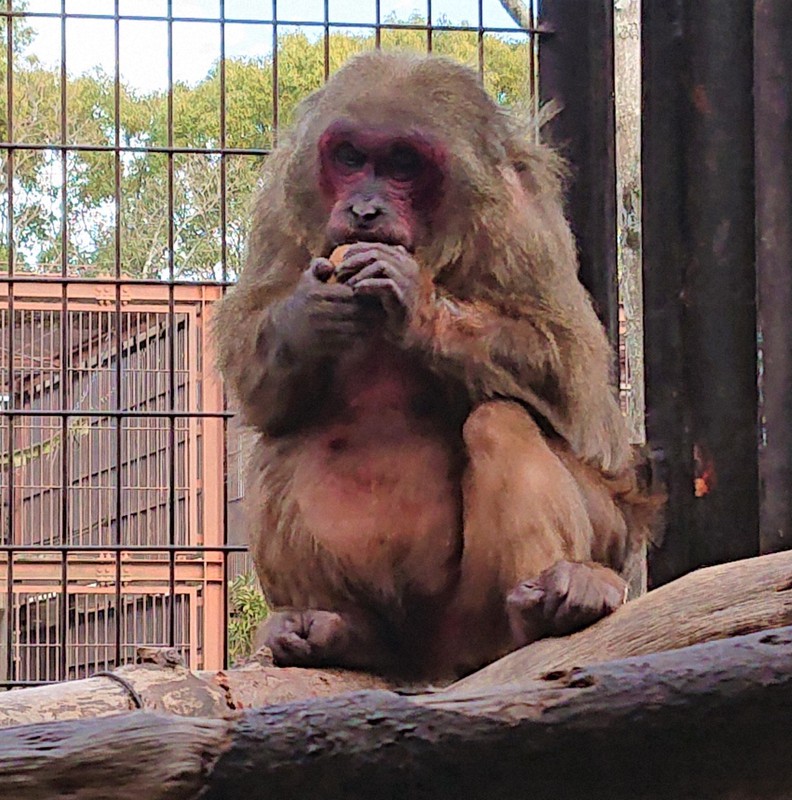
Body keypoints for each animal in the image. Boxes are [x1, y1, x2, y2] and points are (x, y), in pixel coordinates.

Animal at [214, 50, 658, 681]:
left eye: (403, 164)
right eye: (350, 158)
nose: (364, 208)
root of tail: (430, 660)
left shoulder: (515, 215)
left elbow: (573, 373)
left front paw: (417, 304)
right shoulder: (286, 201)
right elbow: (255, 376)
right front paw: (305, 313)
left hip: (516, 592)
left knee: (501, 421)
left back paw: (553, 604)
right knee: (285, 438)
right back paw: (337, 632)